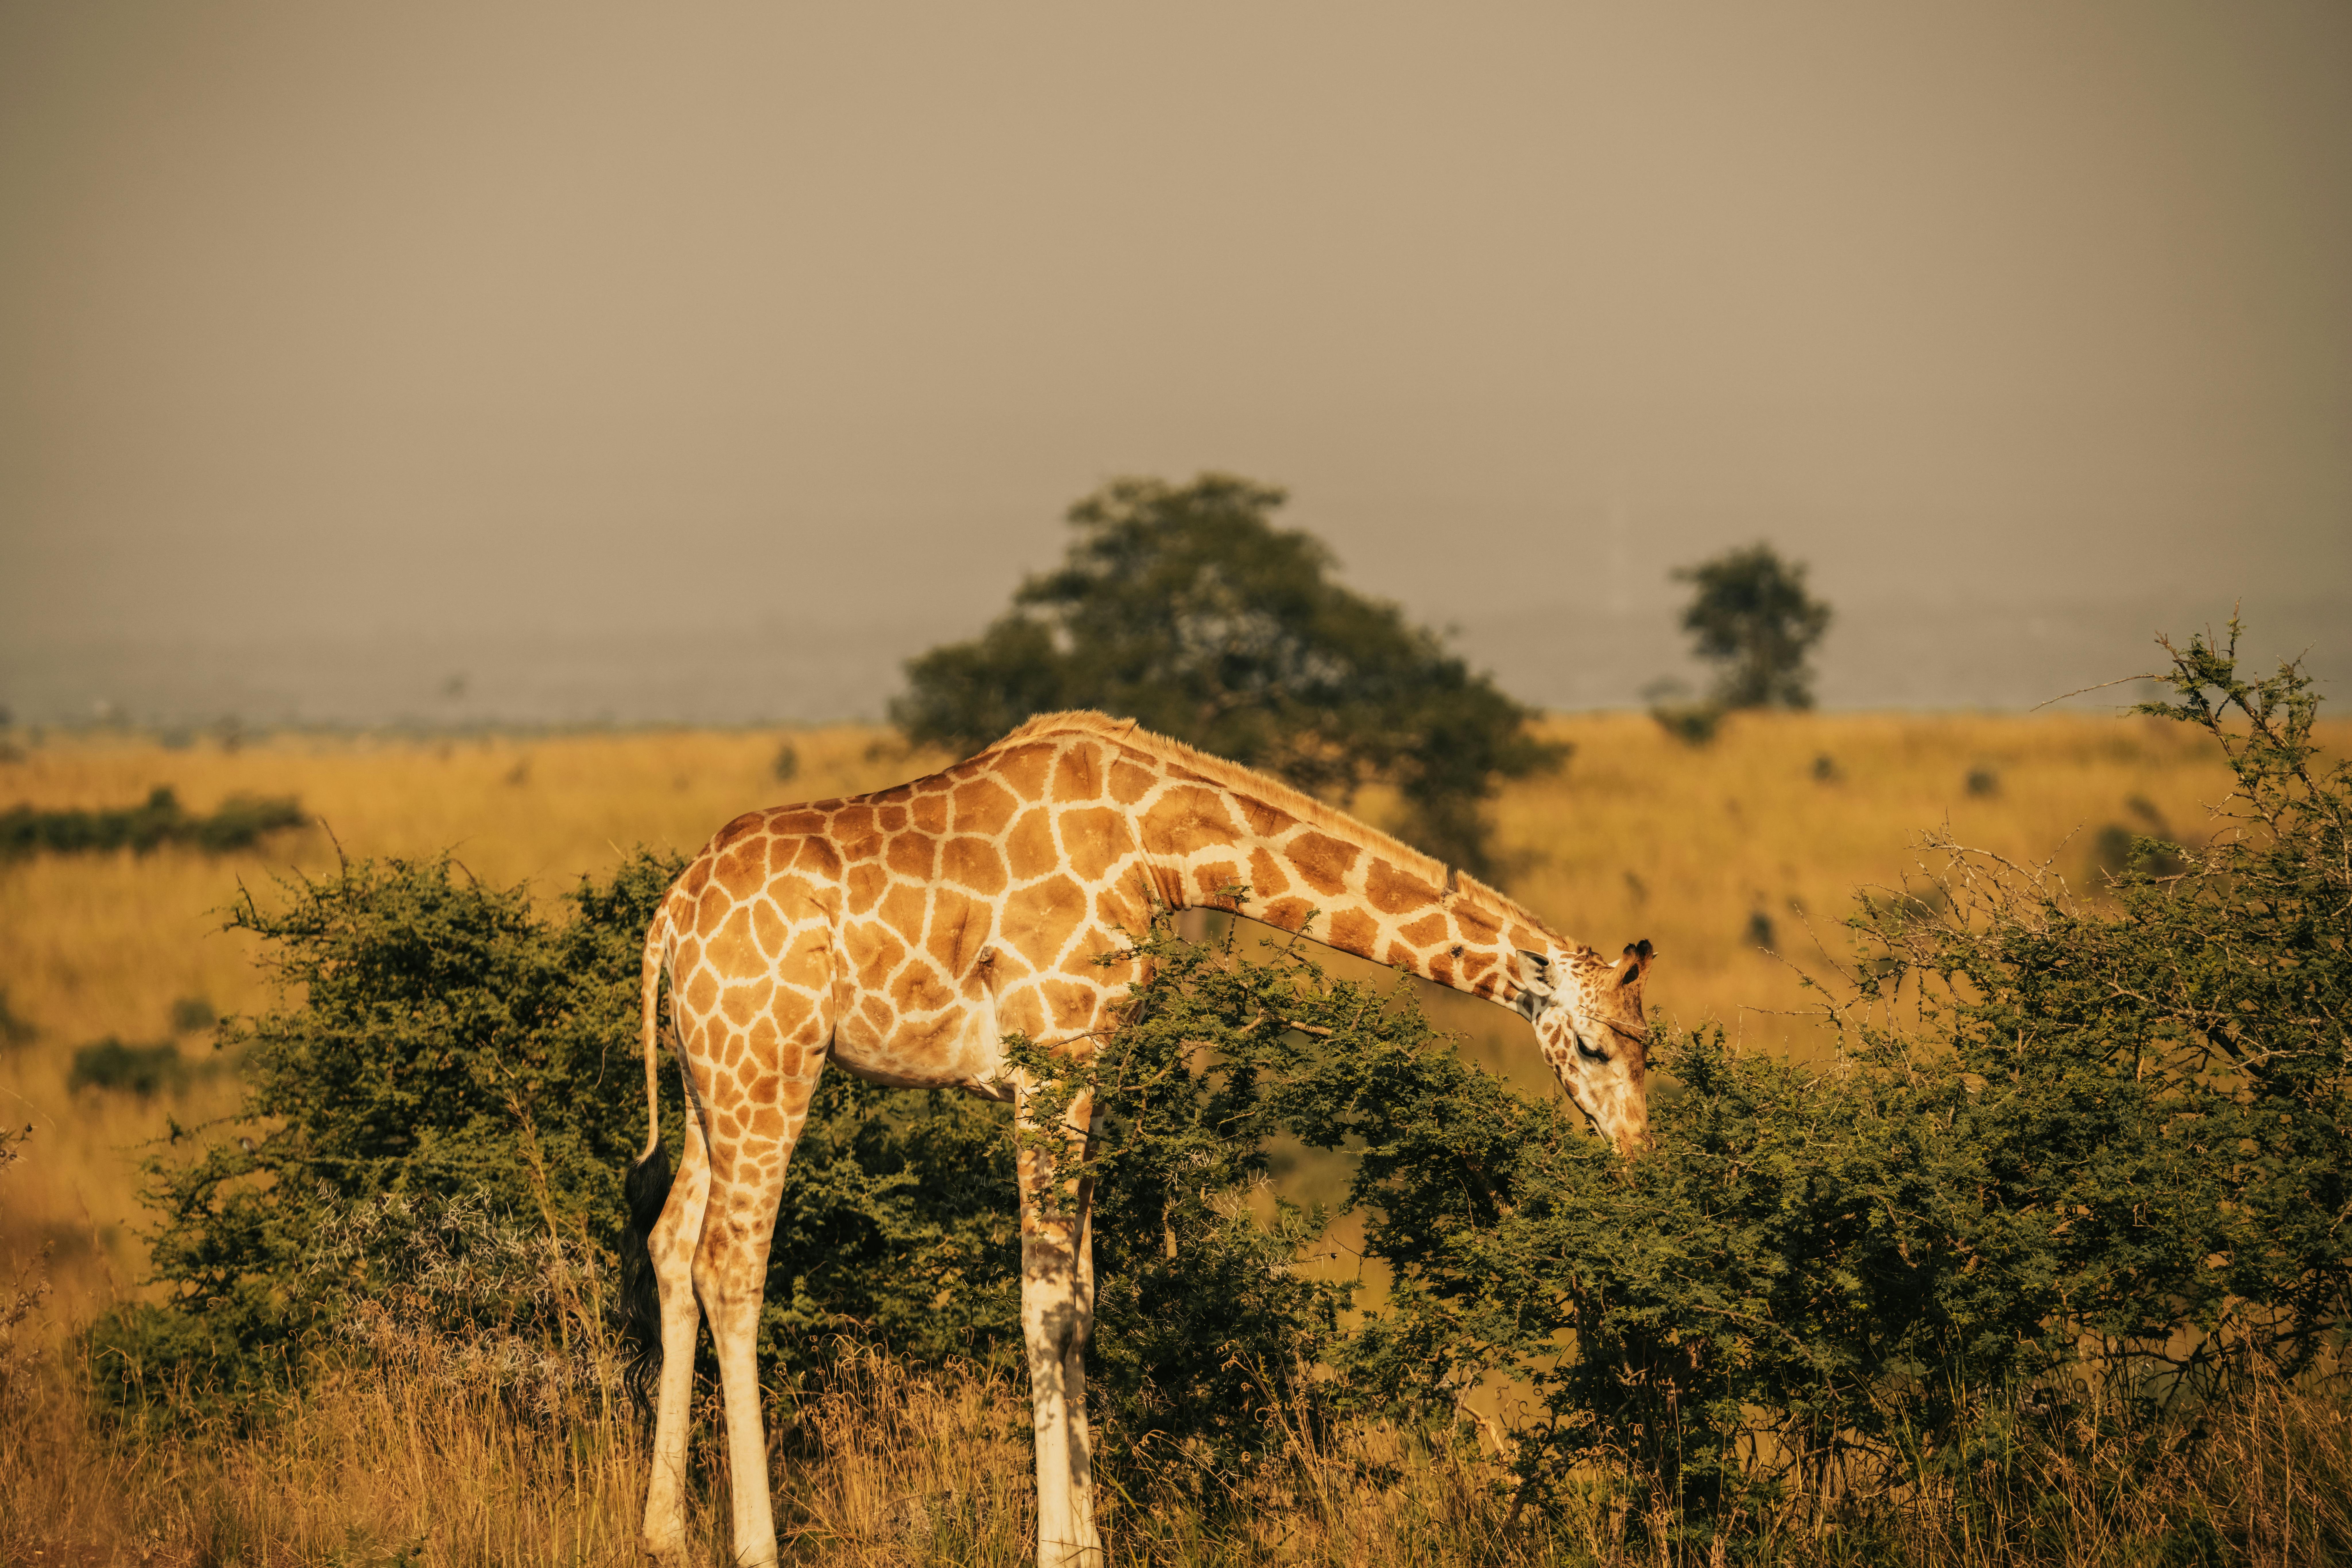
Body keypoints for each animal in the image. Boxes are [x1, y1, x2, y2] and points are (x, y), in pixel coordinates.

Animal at [624, 710, 1656, 1568]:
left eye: (1653, 1048)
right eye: (1595, 1046)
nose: (1637, 1156)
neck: (1157, 845)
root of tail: (669, 919)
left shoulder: (1093, 1068)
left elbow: (1082, 1300)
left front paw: (1089, 1545)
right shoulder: (1050, 1055)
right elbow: (1044, 1300)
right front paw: (1057, 1550)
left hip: (709, 1075)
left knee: (672, 1242)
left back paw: (663, 1535)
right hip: (769, 1065)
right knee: (730, 1264)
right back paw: (755, 1546)